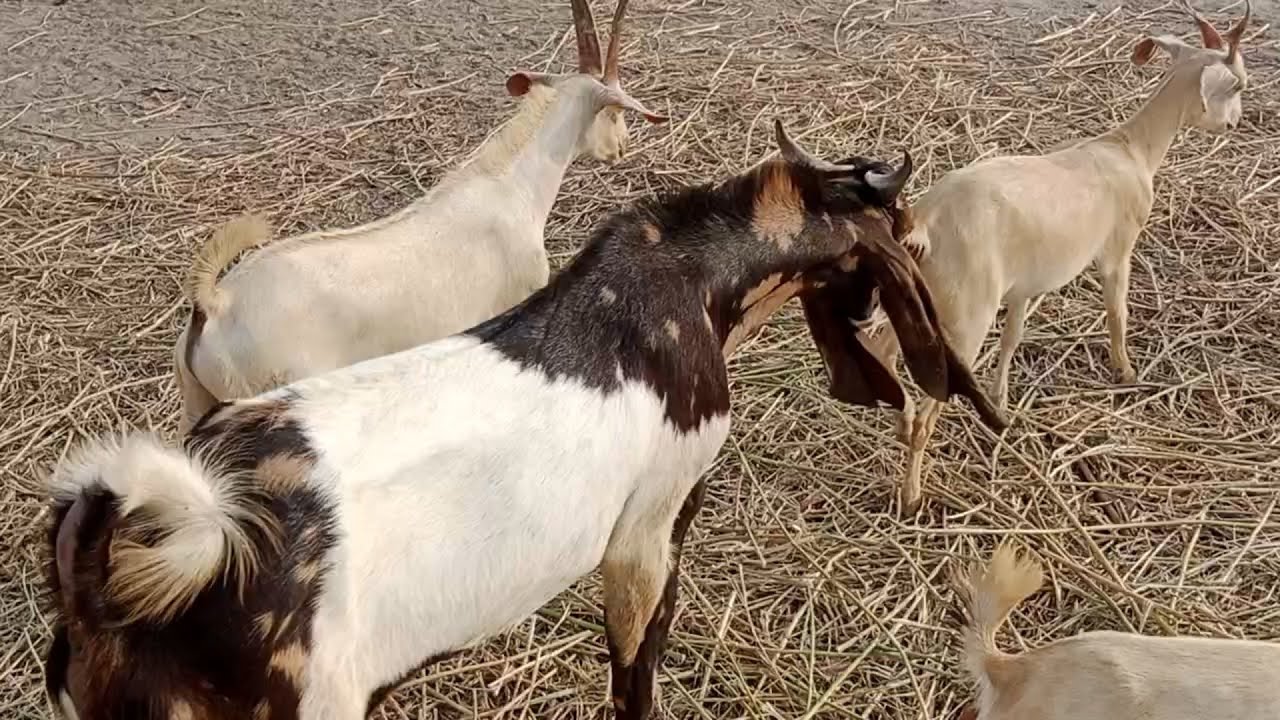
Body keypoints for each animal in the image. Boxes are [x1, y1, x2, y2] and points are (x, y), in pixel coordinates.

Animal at [870, 0, 1252, 513]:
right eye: (1239, 84)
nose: (1234, 123)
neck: (1131, 149)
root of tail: (926, 223)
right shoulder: (1119, 246)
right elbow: (1117, 310)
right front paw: (1125, 372)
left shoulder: (1021, 286)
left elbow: (1013, 337)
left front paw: (1001, 402)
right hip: (968, 310)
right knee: (929, 398)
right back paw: (912, 495)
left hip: (922, 296)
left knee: (884, 351)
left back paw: (901, 423)